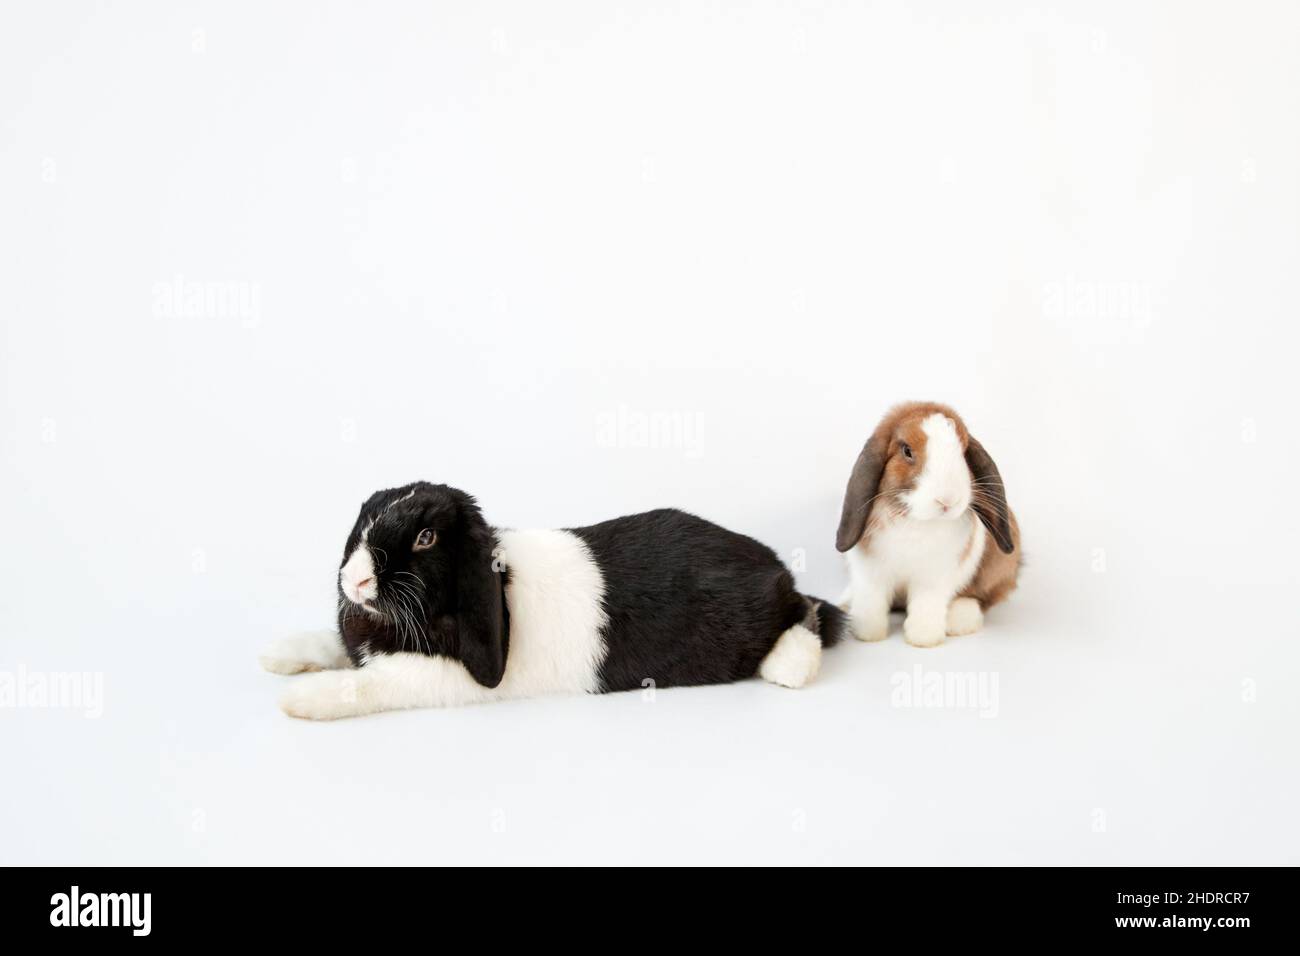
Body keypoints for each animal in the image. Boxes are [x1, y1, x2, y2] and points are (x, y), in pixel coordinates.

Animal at [260, 482, 847, 719]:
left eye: (426, 538)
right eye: (364, 516)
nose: (355, 581)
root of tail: (773, 567)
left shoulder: (434, 677)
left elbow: (367, 684)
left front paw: (300, 700)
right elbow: (335, 647)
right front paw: (280, 654)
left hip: (764, 616)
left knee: (808, 612)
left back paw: (789, 666)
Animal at [834, 402, 1020, 648]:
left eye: (963, 453)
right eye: (907, 451)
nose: (948, 500)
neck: (915, 521)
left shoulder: (933, 578)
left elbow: (926, 605)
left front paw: (923, 639)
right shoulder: (870, 574)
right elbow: (870, 604)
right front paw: (867, 635)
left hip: (996, 568)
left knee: (983, 597)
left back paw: (960, 618)